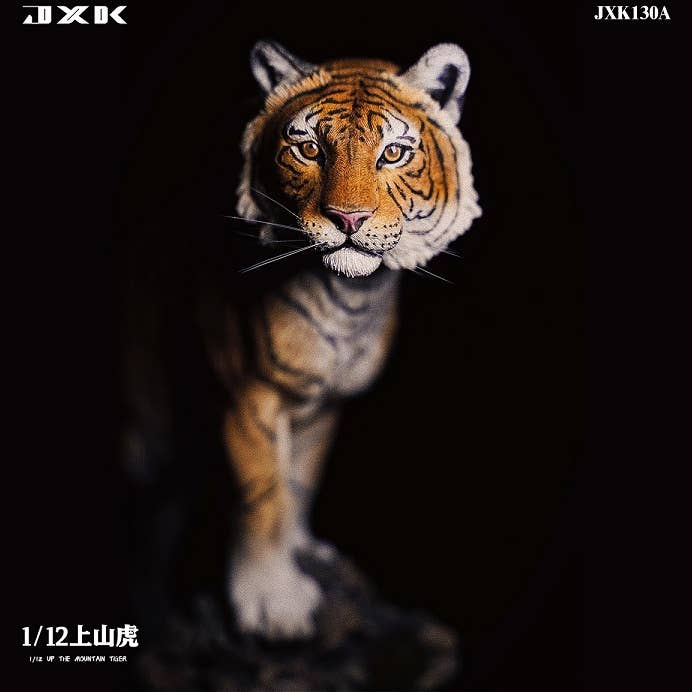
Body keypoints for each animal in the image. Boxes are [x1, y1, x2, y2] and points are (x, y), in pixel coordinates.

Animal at [210, 40, 482, 639]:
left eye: (394, 153)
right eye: (308, 149)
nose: (347, 218)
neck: (350, 303)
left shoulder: (325, 402)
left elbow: (299, 478)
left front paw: (302, 552)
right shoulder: (249, 398)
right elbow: (264, 494)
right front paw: (272, 599)